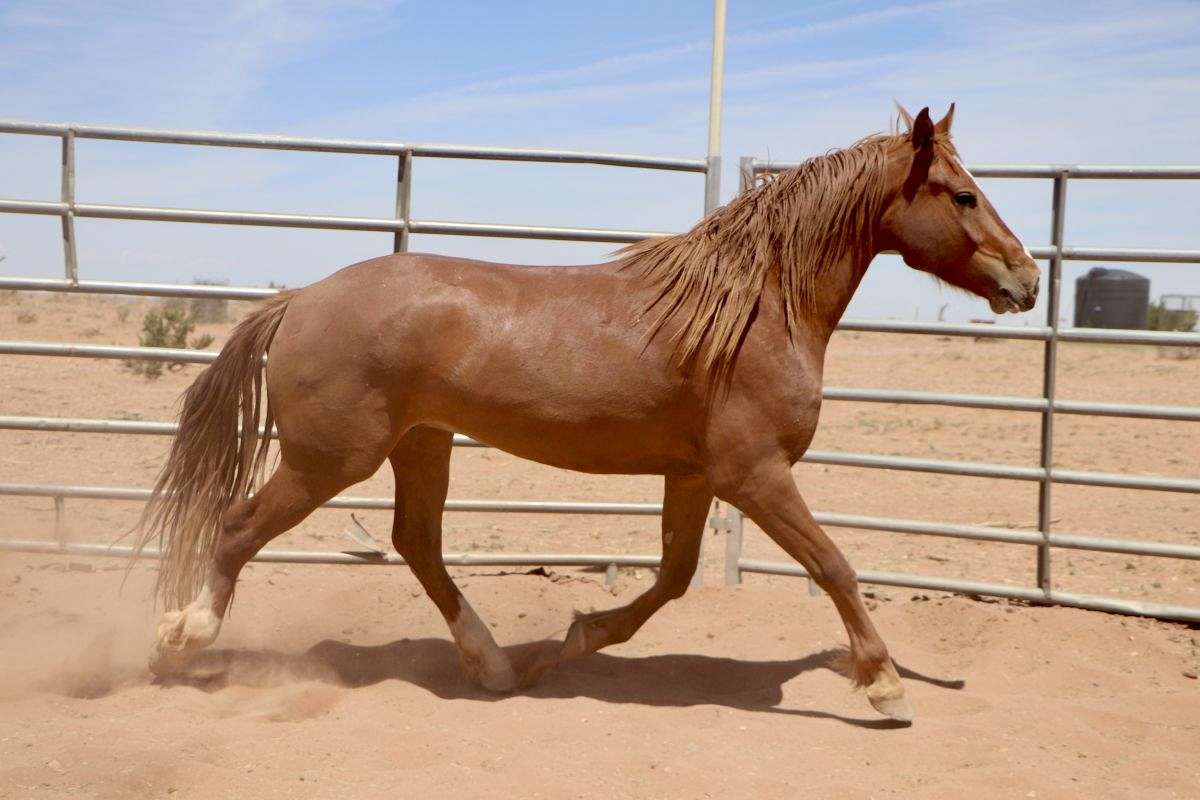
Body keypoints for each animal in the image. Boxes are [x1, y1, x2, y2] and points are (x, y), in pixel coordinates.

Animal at [136, 104, 1039, 722]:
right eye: (963, 196)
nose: (1027, 280)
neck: (751, 311)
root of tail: (299, 299)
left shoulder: (697, 476)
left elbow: (674, 578)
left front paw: (574, 639)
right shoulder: (755, 475)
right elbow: (834, 566)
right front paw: (885, 686)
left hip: (422, 444)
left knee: (417, 544)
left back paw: (497, 668)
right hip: (330, 458)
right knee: (238, 528)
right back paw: (182, 638)